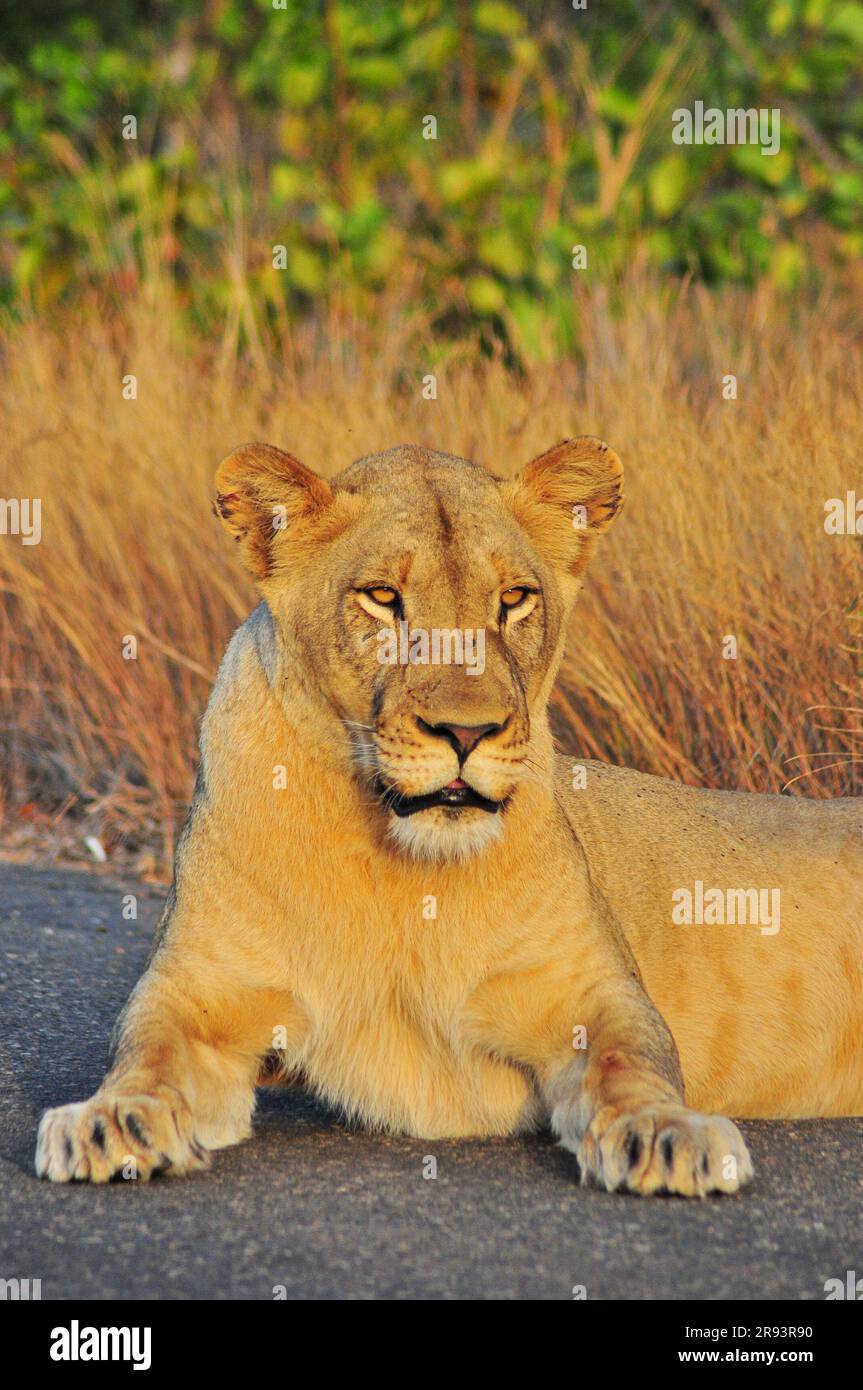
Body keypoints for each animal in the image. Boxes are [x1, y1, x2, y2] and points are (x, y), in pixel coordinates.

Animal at [36, 438, 863, 1195]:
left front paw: (665, 1132)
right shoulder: (200, 991)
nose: (467, 733)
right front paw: (111, 1121)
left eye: (514, 599)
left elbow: (634, 1062)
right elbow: (147, 1054)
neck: (398, 863)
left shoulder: (591, 993)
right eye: (381, 597)